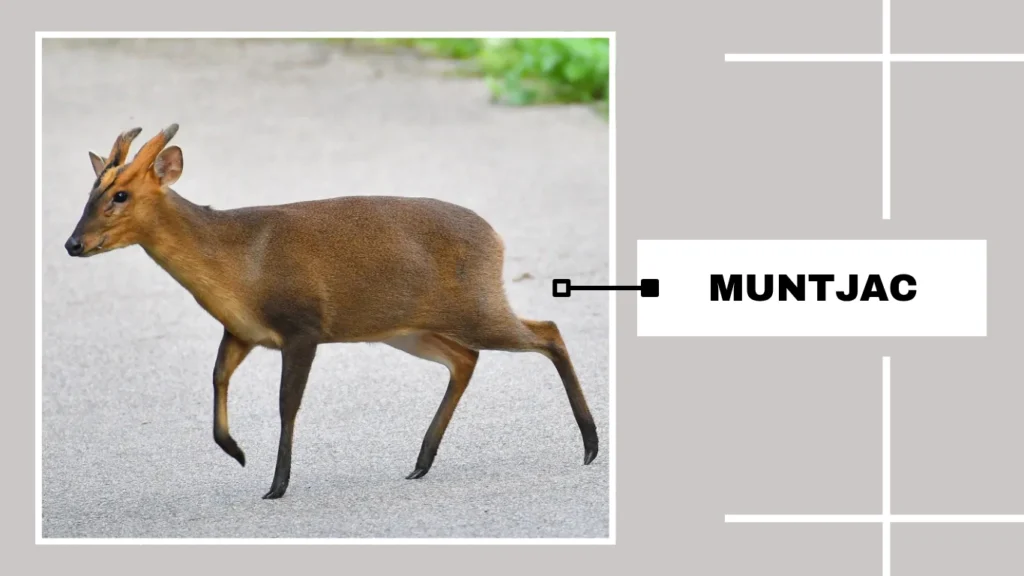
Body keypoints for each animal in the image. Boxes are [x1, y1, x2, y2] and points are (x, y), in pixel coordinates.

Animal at [63, 124, 599, 500]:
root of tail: (497, 238)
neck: (238, 264)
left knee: (548, 331)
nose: (73, 244)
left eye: (120, 195)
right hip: (407, 328)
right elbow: (217, 377)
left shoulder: (303, 327)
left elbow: (286, 403)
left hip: (475, 304)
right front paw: (236, 452)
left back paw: (590, 445)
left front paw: (277, 484)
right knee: (466, 359)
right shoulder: (242, 330)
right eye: (88, 195)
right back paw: (422, 461)